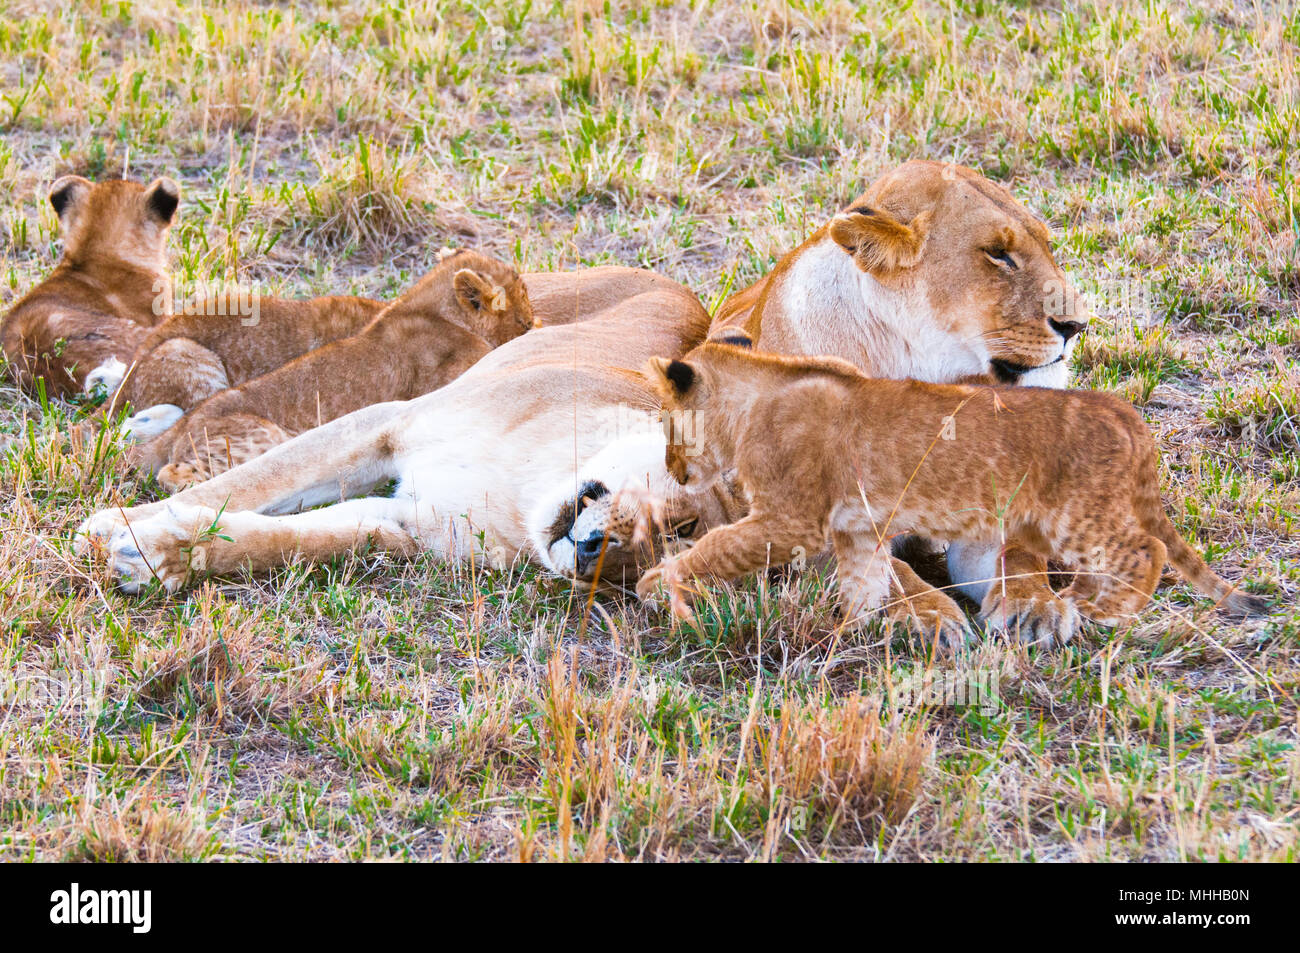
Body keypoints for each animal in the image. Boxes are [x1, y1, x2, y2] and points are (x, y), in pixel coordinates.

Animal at [129, 249, 534, 490]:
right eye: (524, 299)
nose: (535, 321)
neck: (433, 309)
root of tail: (185, 421)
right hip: (259, 434)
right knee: (175, 474)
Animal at [636, 337, 1268, 646]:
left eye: (666, 426)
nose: (673, 469)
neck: (752, 401)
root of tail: (1121, 410)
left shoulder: (790, 520)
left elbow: (717, 548)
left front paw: (656, 582)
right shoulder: (856, 529)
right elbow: (867, 585)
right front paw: (845, 636)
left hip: (1075, 515)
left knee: (1149, 552)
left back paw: (1096, 609)